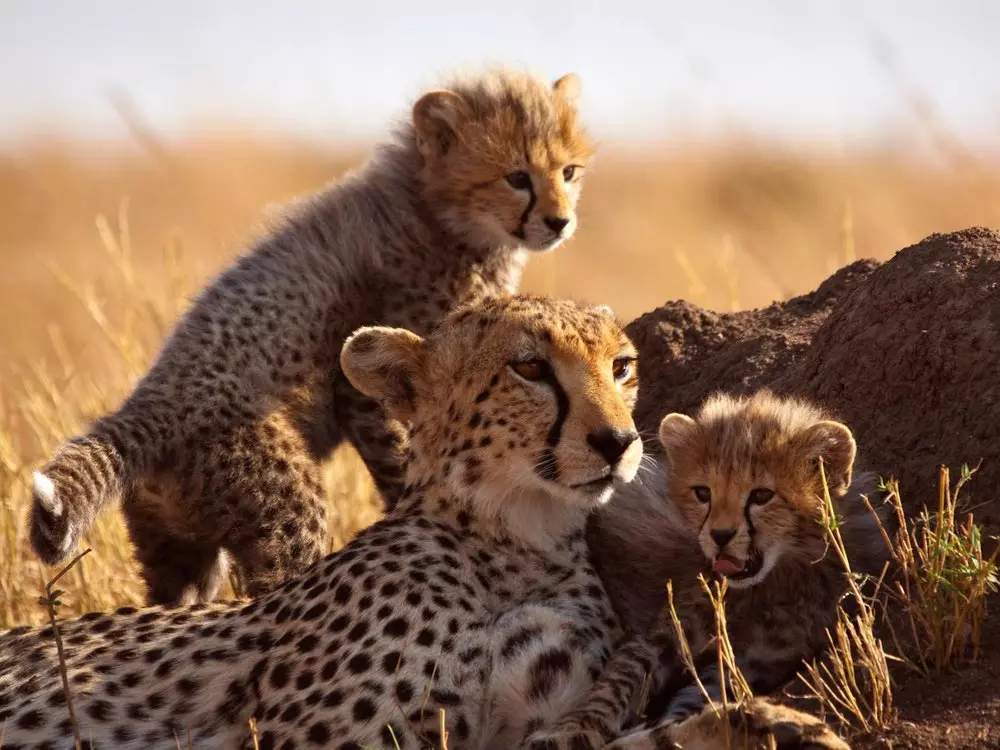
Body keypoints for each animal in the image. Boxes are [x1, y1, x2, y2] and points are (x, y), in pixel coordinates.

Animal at [29, 67, 592, 608]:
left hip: (178, 549)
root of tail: (147, 404)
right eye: (517, 177)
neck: (431, 207)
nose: (560, 222)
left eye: (568, 172)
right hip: (284, 507)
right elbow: (404, 457)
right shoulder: (368, 385)